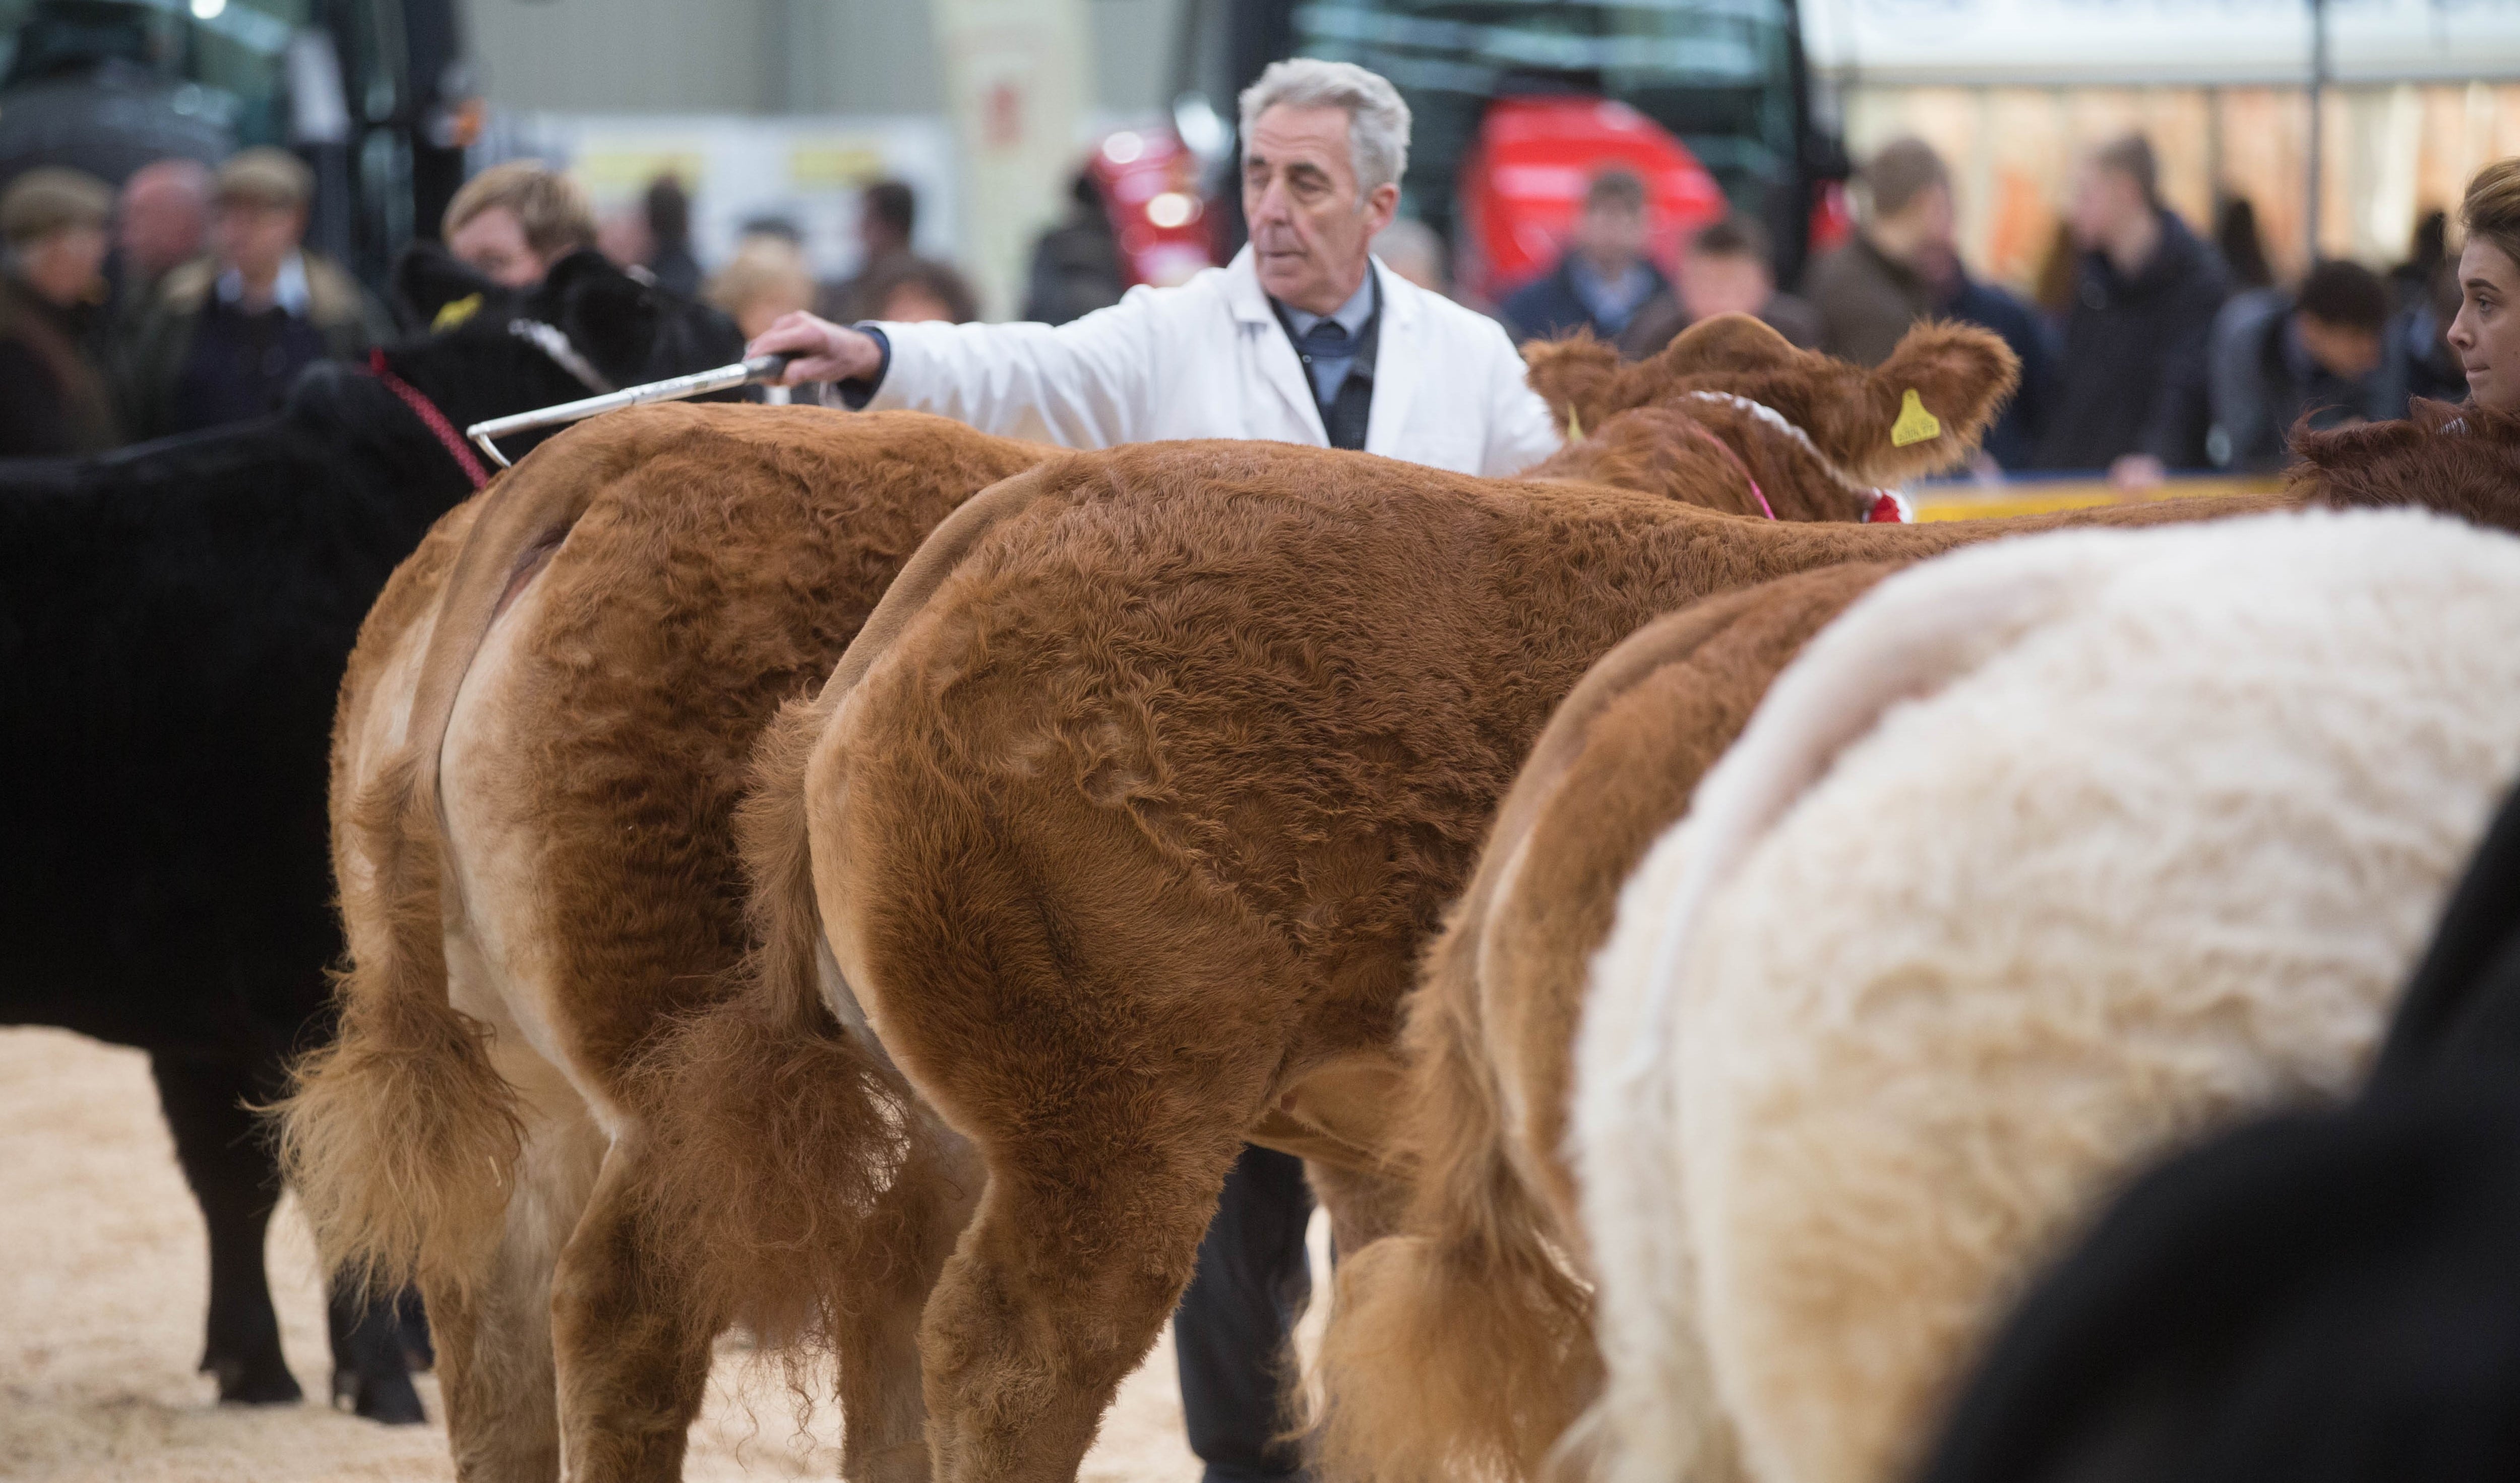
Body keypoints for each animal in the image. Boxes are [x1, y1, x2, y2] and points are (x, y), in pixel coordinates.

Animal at [0, 244, 744, 1422]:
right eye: (709, 336)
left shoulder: (200, 1003)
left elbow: (233, 1177)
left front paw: (254, 1365)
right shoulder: (305, 958)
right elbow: (337, 1163)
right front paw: (378, 1375)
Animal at [273, 314, 1933, 1481]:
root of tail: (613, 455)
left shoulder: (1392, 1154)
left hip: (555, 1079)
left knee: (507, 1313)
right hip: (987, 1098)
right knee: (726, 1316)